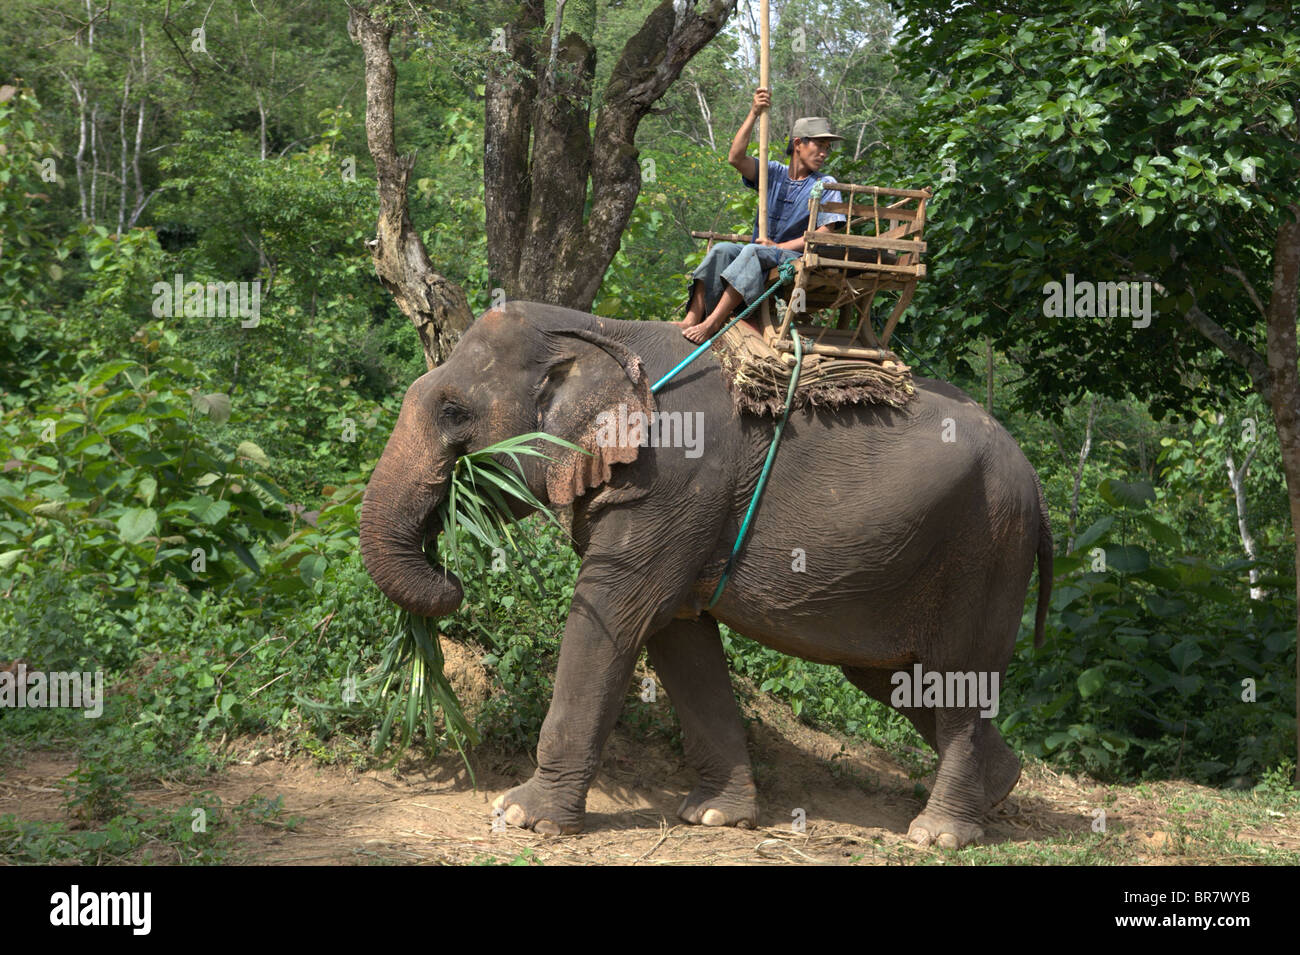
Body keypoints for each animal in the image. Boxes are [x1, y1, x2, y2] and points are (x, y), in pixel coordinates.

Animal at [359, 301, 1053, 849]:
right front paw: (716, 817)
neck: (596, 330)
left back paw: (939, 834)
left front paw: (521, 816)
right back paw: (997, 791)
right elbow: (678, 634)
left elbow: (615, 615)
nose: (448, 569)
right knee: (899, 679)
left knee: (954, 675)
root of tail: (1037, 492)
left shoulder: (672, 480)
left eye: (453, 412)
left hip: (987, 547)